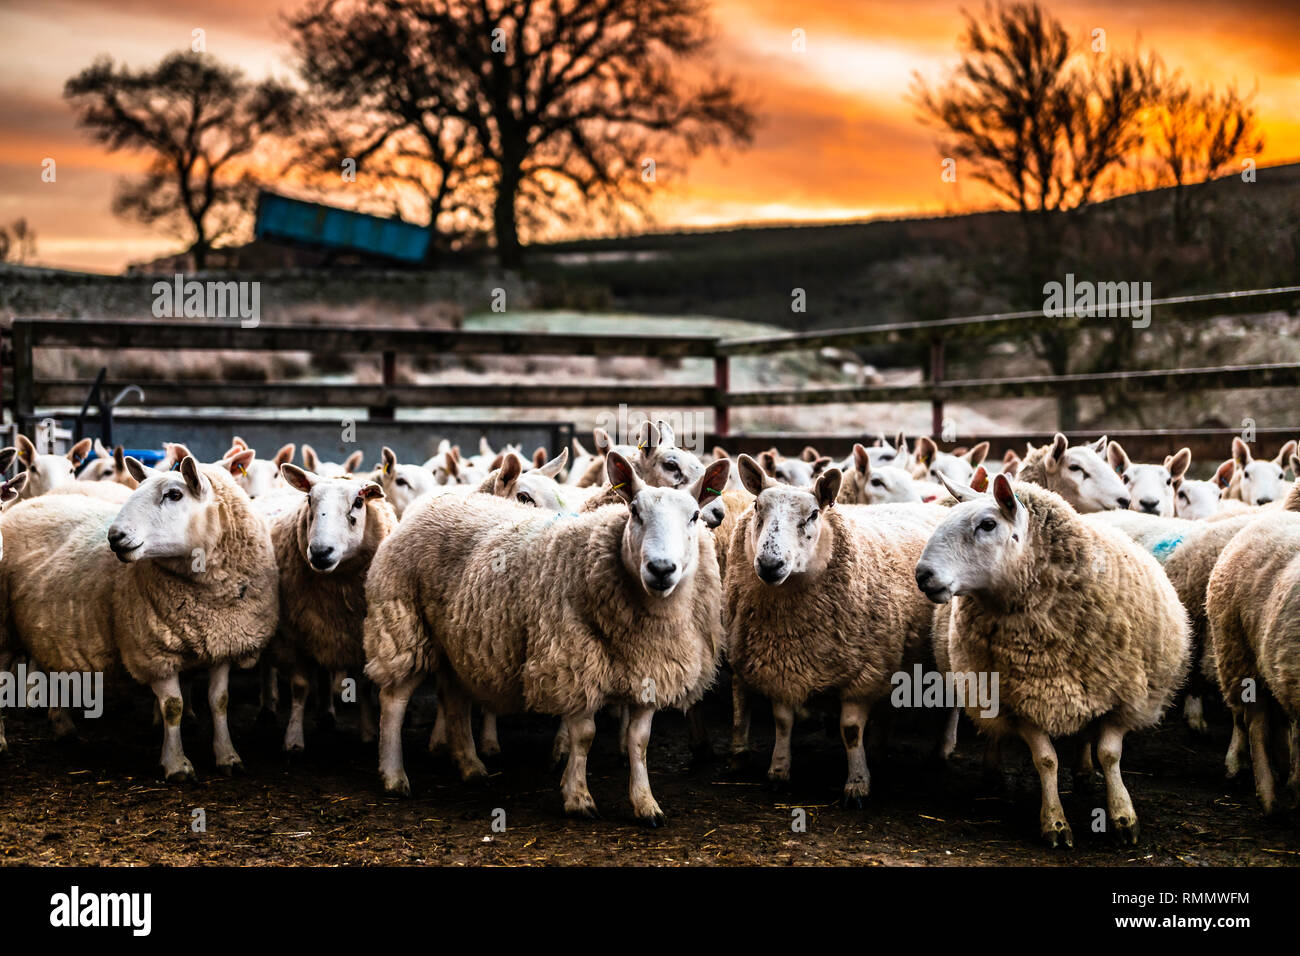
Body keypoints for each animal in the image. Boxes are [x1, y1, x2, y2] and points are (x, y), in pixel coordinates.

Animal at [0, 449, 278, 779]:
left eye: (174, 494)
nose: (115, 536)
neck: (209, 603)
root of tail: (28, 503)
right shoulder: (153, 652)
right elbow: (173, 706)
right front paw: (176, 764)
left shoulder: (224, 643)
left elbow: (219, 702)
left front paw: (227, 756)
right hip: (3, 630)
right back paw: (4, 742)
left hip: (46, 628)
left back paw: (63, 727)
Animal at [261, 463, 395, 752]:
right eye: (310, 500)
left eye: (359, 502)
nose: (321, 552)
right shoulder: (293, 635)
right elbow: (300, 686)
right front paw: (293, 738)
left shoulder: (361, 639)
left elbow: (363, 687)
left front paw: (369, 733)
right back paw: (267, 708)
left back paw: (326, 713)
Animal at [364, 452, 731, 824]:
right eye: (634, 511)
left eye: (694, 515)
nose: (661, 569)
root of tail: (439, 501)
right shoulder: (573, 666)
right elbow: (584, 736)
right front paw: (578, 797)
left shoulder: (651, 672)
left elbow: (639, 742)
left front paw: (645, 804)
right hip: (404, 624)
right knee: (393, 700)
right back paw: (394, 776)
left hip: (457, 641)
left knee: (454, 699)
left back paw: (470, 766)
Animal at [724, 455, 948, 805]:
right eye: (758, 506)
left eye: (814, 514)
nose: (770, 564)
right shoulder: (781, 668)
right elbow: (783, 721)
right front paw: (779, 771)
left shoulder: (864, 675)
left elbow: (851, 730)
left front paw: (857, 784)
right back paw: (879, 750)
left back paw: (940, 752)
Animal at [915, 472, 1190, 846]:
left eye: (987, 525)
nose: (922, 575)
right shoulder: (1021, 700)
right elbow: (1045, 761)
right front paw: (1055, 823)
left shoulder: (1122, 695)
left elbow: (1110, 755)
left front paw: (1123, 816)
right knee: (994, 730)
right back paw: (992, 770)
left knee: (1087, 735)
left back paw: (1085, 771)